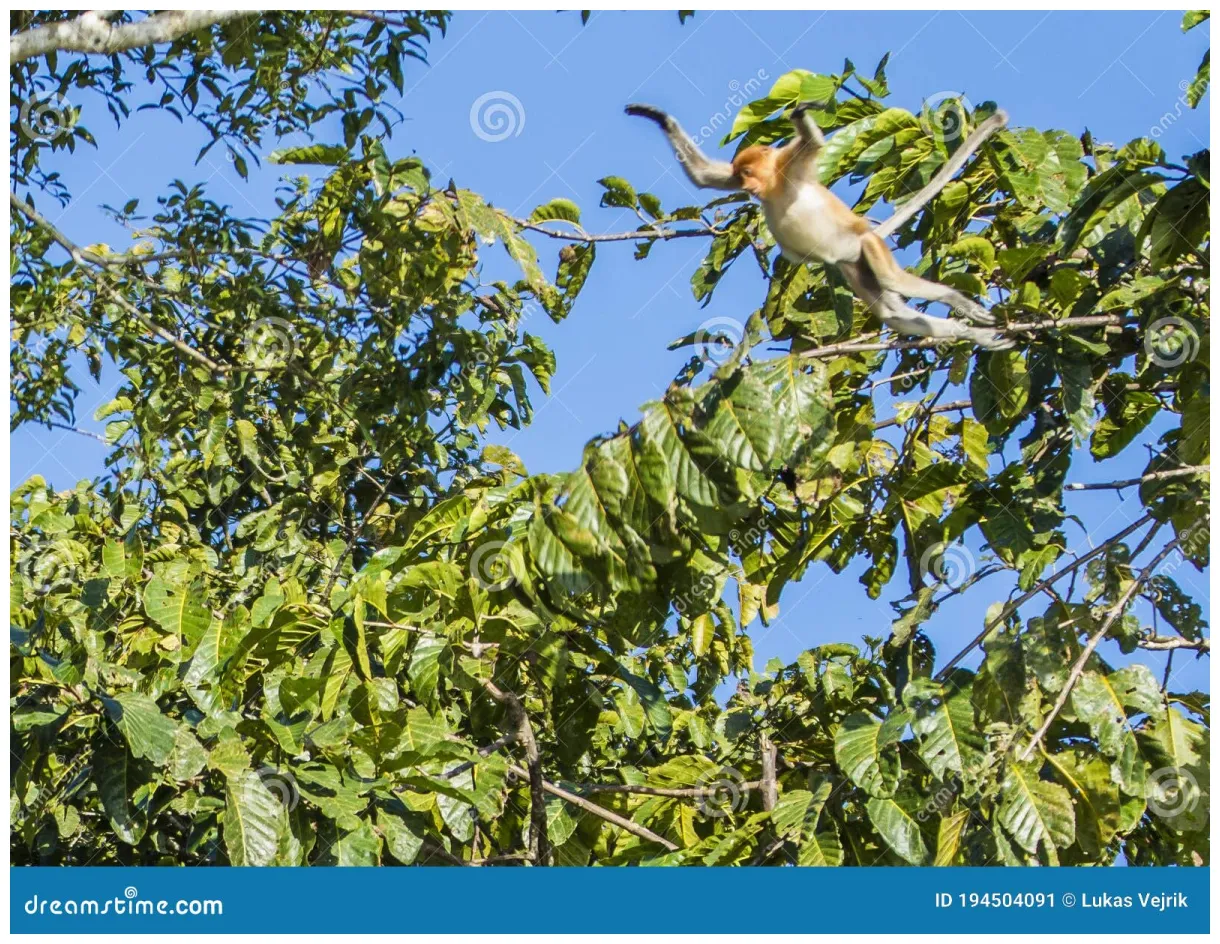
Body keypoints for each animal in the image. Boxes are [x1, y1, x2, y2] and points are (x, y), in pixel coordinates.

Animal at [626, 102, 1012, 350]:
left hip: (869, 247)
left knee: (892, 282)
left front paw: (800, 111)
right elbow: (705, 177)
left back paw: (956, 302)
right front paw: (654, 114)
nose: (747, 186)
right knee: (892, 312)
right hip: (856, 266)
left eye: (748, 172)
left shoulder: (788, 163)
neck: (773, 185)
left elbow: (814, 143)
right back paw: (971, 334)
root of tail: (865, 234)